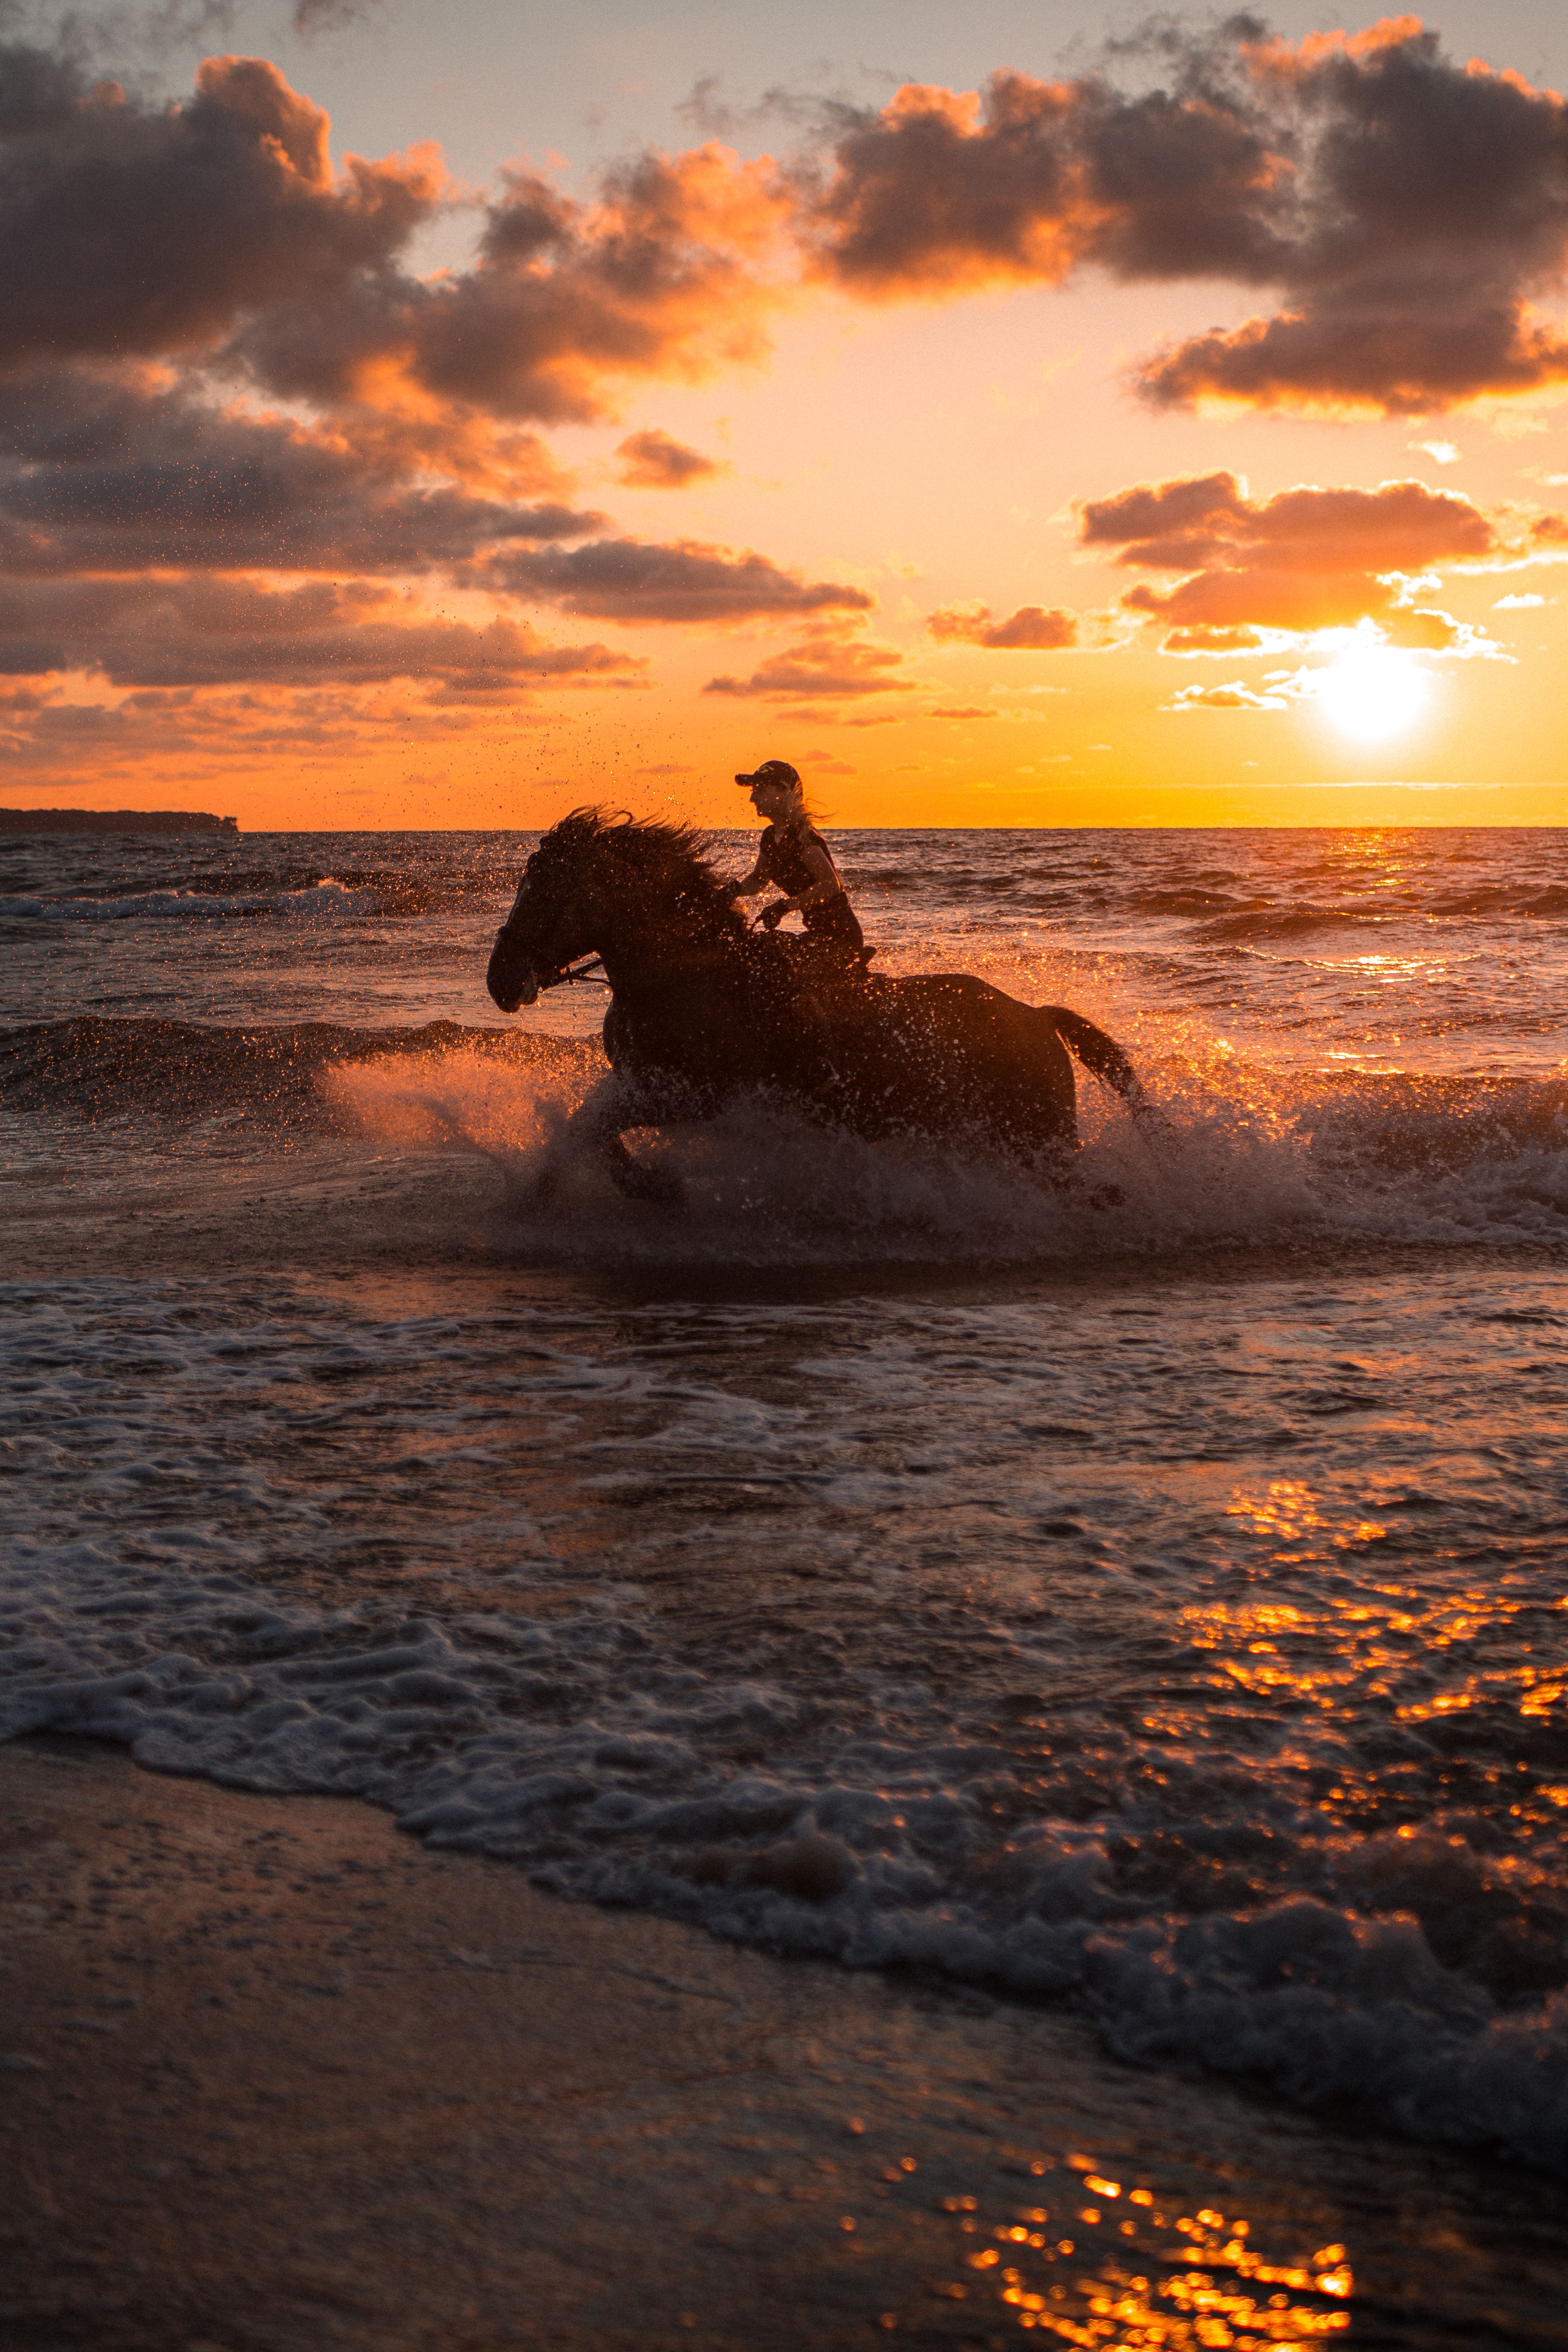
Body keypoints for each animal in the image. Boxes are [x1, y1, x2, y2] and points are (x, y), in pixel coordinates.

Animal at [486, 810, 1149, 1202]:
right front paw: (641, 1184)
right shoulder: (638, 1080)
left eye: (544, 893)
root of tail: (1035, 1016)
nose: (499, 982)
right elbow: (590, 1127)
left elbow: (588, 1127)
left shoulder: (688, 1094)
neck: (684, 973)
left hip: (1037, 1137)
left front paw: (649, 1184)